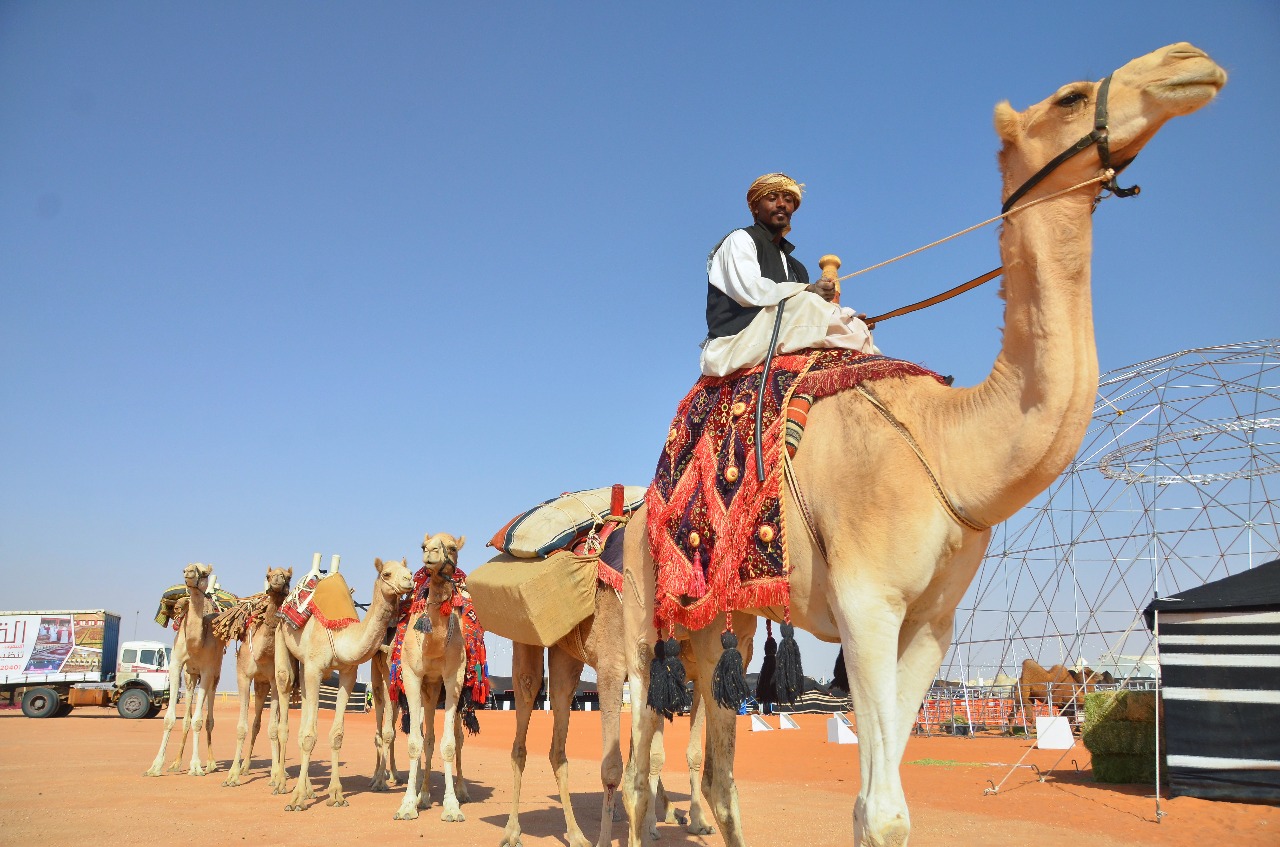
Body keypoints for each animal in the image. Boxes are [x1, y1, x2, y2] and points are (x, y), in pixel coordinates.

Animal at [144, 563, 229, 777]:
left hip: (215, 673)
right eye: (186, 567)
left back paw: (211, 763)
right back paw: (176, 763)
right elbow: (170, 719)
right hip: (191, 675)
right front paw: (156, 766)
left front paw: (196, 766)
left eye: (204, 572)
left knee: (209, 718)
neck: (195, 643)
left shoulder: (207, 670)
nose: (189, 572)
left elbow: (198, 721)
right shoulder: (177, 665)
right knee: (186, 718)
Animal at [221, 566, 293, 787]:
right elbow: (242, 727)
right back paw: (245, 767)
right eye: (268, 575)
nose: (278, 580)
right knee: (255, 723)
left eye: (288, 576)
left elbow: (273, 729)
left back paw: (281, 771)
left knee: (269, 723)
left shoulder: (274, 680)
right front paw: (232, 776)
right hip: (259, 686)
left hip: (266, 685)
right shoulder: (243, 676)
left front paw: (275, 775)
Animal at [274, 556, 414, 811]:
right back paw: (280, 783)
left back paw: (310, 789)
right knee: (284, 685)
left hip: (305, 664)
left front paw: (336, 794)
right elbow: (309, 735)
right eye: (387, 574)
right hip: (283, 636)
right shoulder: (315, 668)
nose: (408, 579)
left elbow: (336, 734)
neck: (342, 636)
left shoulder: (348, 672)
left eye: (407, 570)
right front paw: (297, 799)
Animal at [394, 532, 471, 822]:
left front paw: (451, 807)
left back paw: (461, 791)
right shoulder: (413, 677)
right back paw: (424, 796)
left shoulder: (453, 678)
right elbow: (416, 743)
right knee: (428, 739)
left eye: (451, 547)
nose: (430, 554)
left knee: (458, 739)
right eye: (423, 546)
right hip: (429, 691)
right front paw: (408, 804)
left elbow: (449, 745)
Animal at [620, 43, 1226, 847]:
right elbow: (884, 813)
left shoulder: (931, 624)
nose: (1188, 61)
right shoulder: (867, 602)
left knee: (715, 767)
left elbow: (870, 802)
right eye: (1068, 97)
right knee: (639, 768)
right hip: (651, 616)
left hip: (728, 621)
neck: (948, 448)